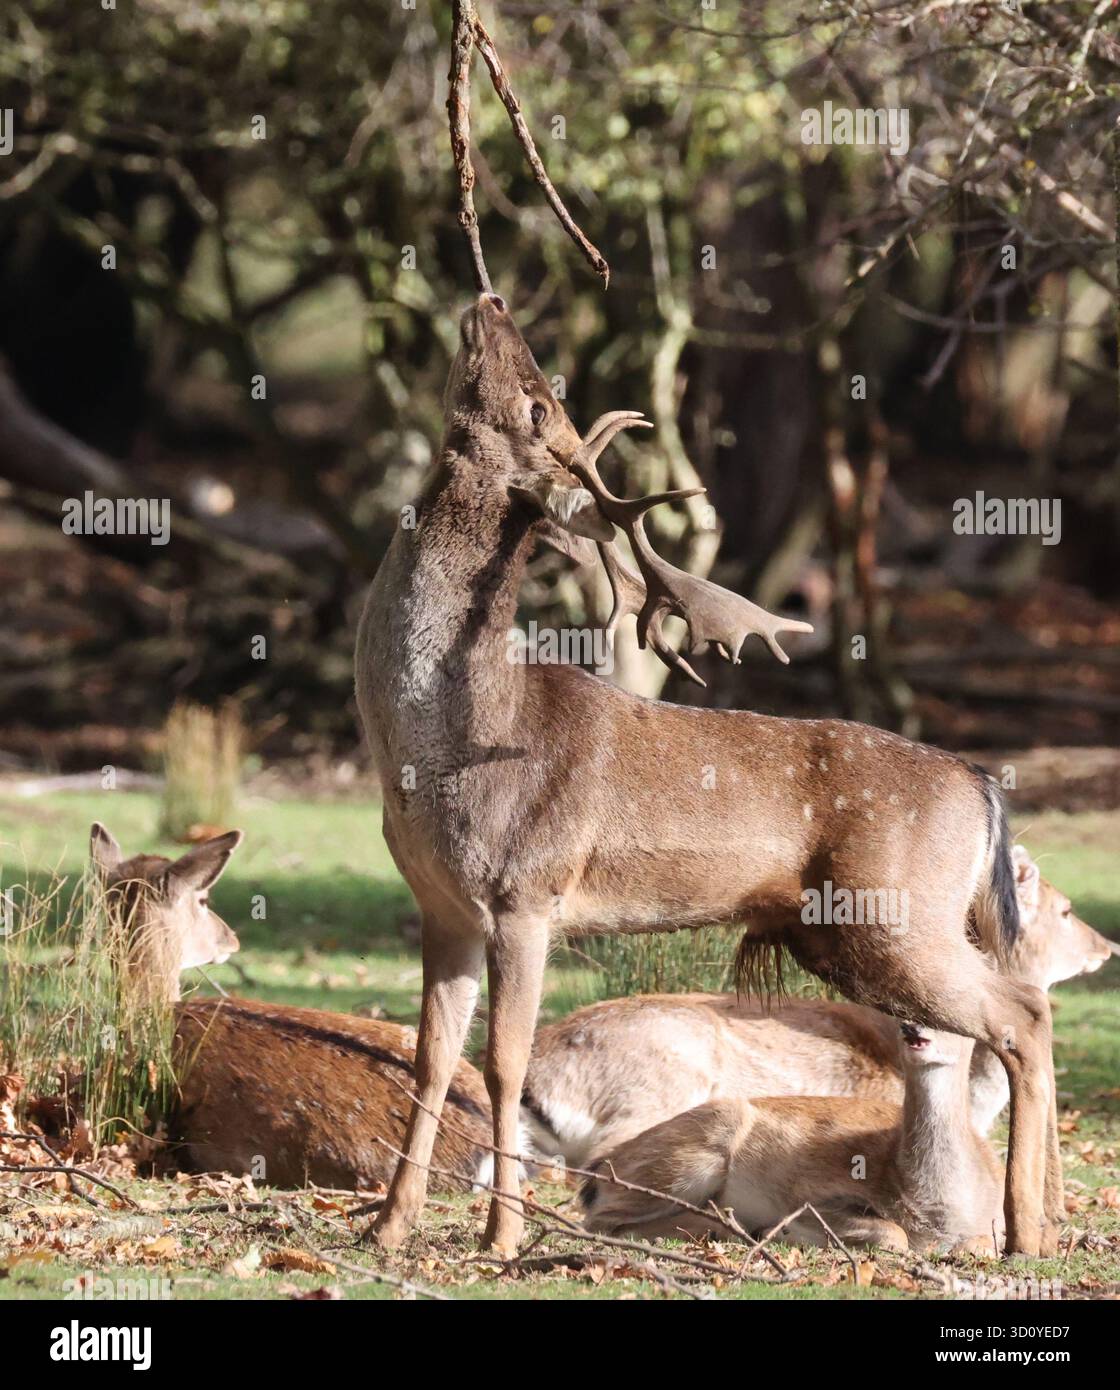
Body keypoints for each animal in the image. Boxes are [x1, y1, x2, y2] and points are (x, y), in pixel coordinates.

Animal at [579, 1020, 1005, 1255]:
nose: (911, 1026)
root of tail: (598, 1171)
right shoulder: (812, 1193)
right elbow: (891, 1233)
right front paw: (785, 1230)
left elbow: (982, 1246)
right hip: (688, 1156)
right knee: (599, 1221)